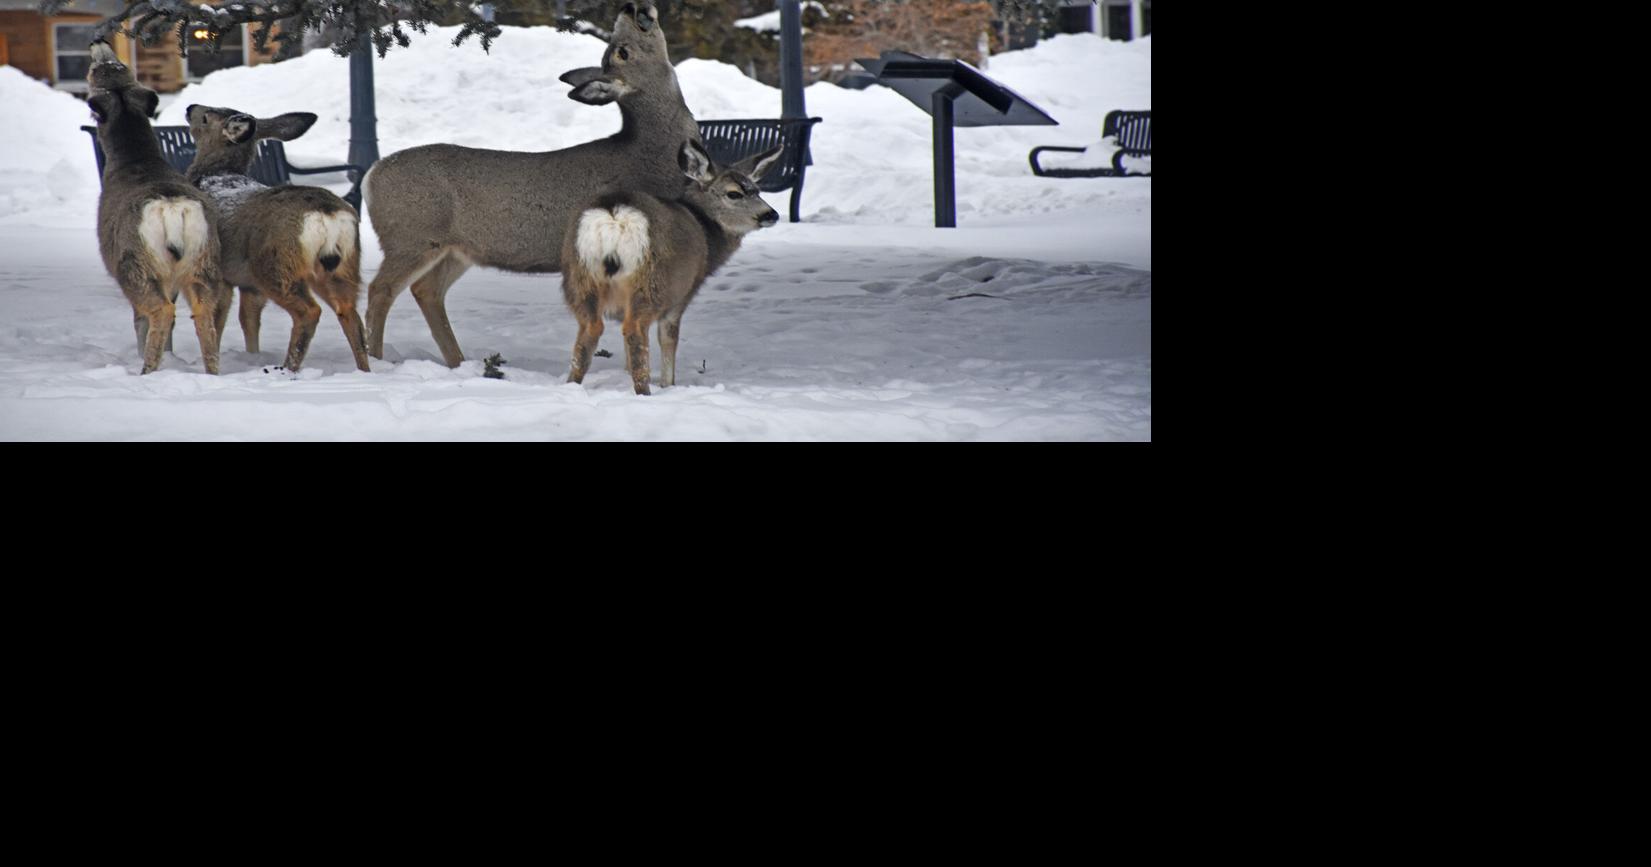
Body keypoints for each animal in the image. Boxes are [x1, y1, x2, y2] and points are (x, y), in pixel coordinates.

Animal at [86, 42, 229, 375]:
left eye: (94, 71)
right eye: (121, 64)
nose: (98, 43)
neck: (135, 161)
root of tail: (172, 209)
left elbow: (140, 321)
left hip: (134, 263)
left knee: (160, 310)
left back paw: (146, 370)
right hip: (204, 258)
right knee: (203, 312)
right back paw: (211, 372)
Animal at [184, 105, 370, 373]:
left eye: (207, 116)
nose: (189, 108)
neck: (215, 174)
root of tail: (327, 214)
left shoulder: (220, 273)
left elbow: (217, 320)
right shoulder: (249, 285)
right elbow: (248, 319)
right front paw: (252, 355)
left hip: (276, 265)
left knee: (310, 311)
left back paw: (288, 367)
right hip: (343, 265)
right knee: (351, 314)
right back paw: (364, 369)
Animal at [361, 2, 706, 368]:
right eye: (621, 51)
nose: (631, 8)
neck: (652, 156)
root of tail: (370, 176)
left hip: (456, 249)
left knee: (426, 290)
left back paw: (458, 362)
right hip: (411, 235)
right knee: (380, 289)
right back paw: (375, 360)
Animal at [563, 139, 781, 395]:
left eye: (757, 190)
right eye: (734, 193)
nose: (771, 214)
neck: (706, 235)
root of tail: (613, 215)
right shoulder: (682, 294)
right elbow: (668, 337)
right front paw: (668, 384)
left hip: (579, 275)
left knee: (591, 329)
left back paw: (572, 385)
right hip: (652, 281)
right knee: (635, 330)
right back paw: (644, 392)